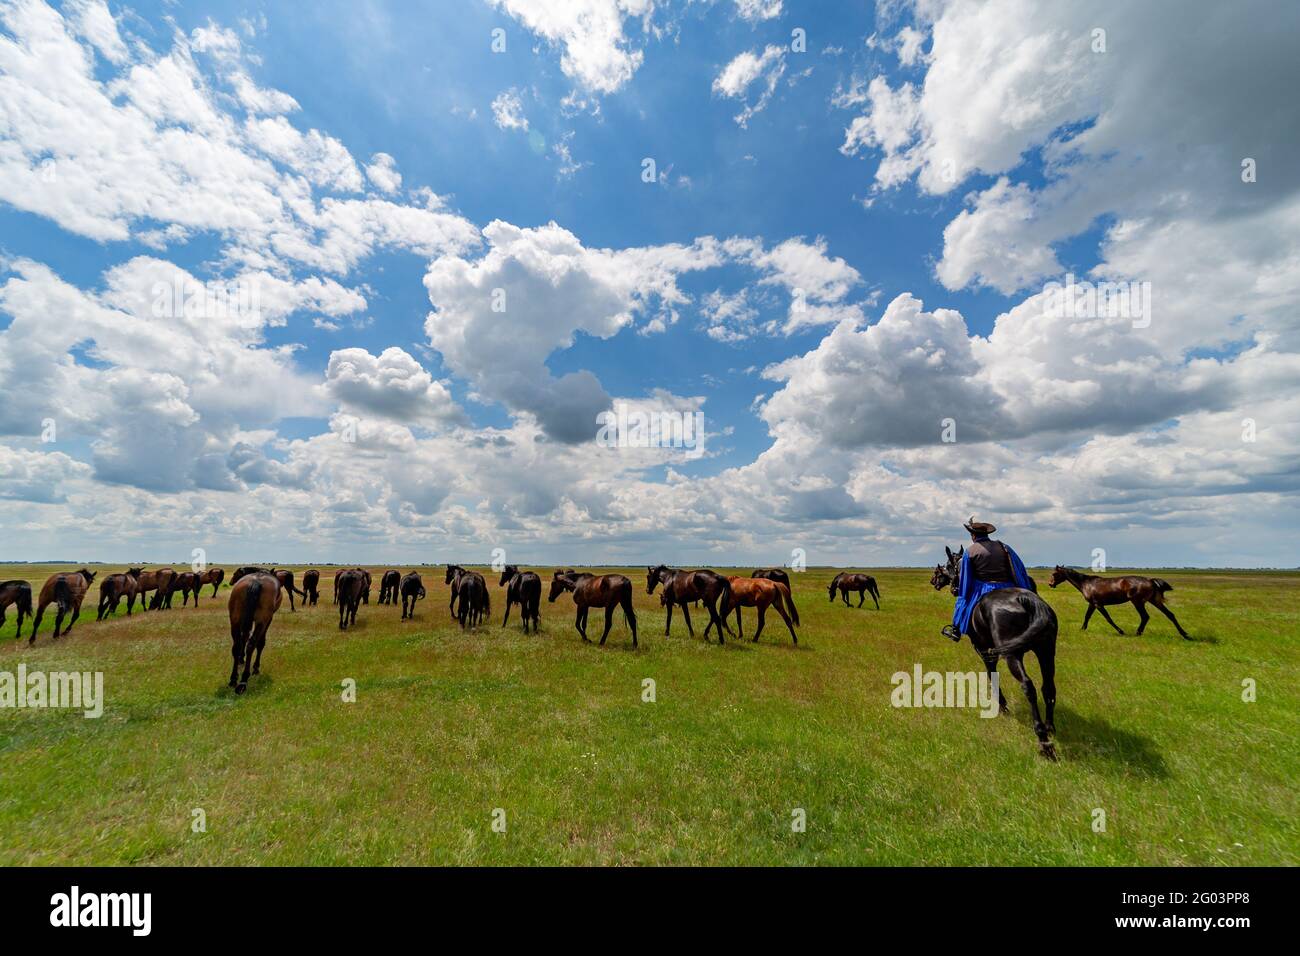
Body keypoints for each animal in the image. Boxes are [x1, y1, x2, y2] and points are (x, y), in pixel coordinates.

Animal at [933, 547, 1059, 760]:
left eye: (950, 566)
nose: (936, 582)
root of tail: (1027, 600)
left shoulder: (983, 651)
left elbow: (992, 676)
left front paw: (1002, 706)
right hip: (1047, 651)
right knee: (1048, 687)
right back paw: (1050, 727)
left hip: (1013, 656)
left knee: (1028, 687)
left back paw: (1043, 741)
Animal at [1049, 566, 1190, 639]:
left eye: (1055, 574)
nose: (1050, 584)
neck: (1086, 584)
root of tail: (1150, 580)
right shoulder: (1092, 604)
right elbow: (1087, 616)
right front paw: (1082, 629)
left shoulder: (1098, 604)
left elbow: (1108, 618)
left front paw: (1121, 631)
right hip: (1154, 601)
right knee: (1170, 615)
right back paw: (1185, 634)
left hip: (1137, 602)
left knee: (1145, 617)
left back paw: (1138, 633)